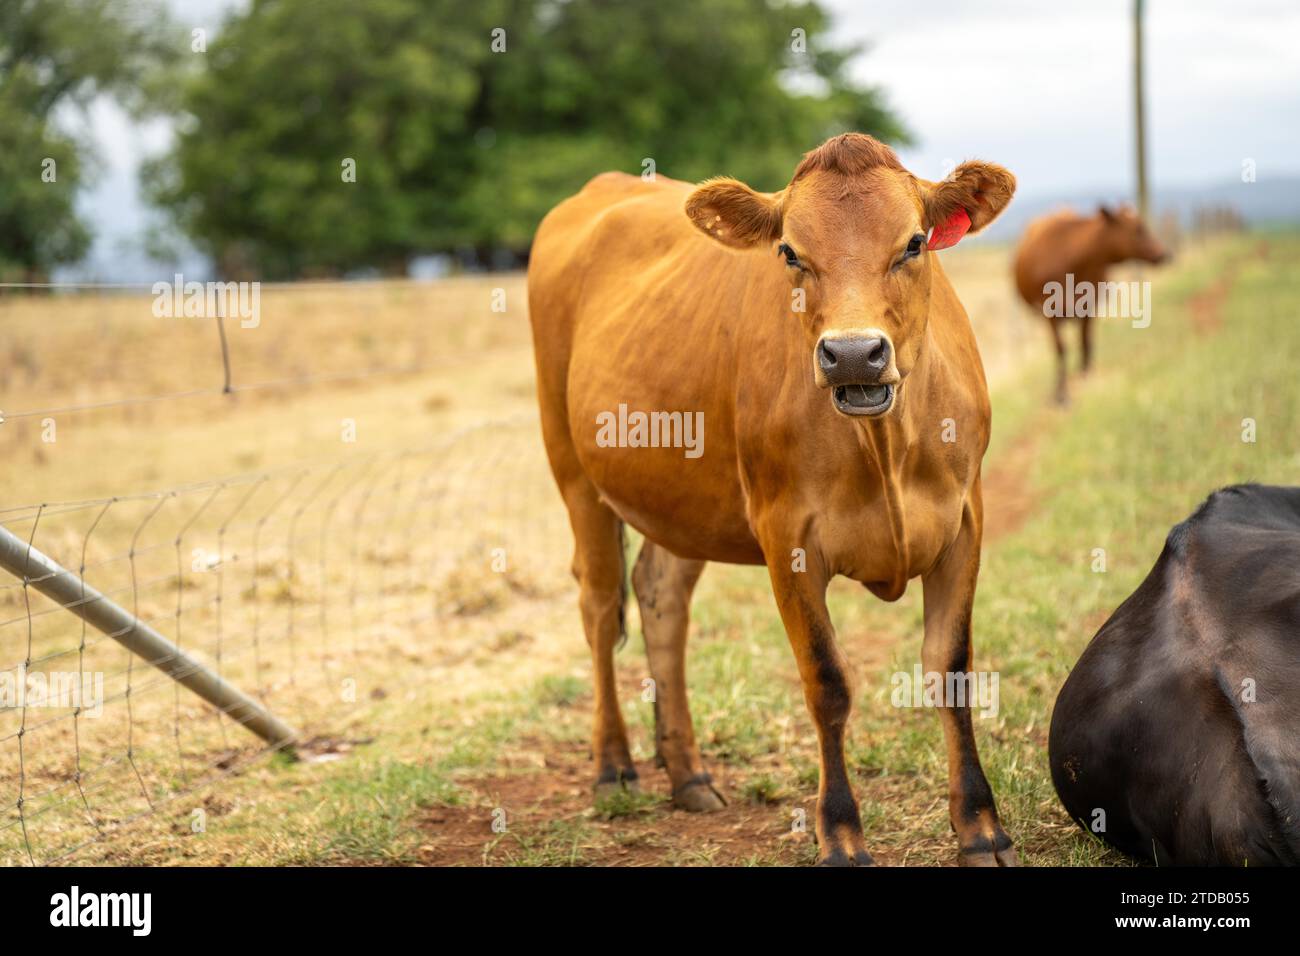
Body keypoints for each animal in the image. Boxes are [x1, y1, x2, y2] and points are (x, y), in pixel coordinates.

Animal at [526, 133, 1018, 866]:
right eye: (790, 251)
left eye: (914, 242)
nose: (853, 355)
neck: (885, 446)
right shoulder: (786, 537)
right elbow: (827, 682)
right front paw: (840, 834)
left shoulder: (963, 522)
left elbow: (951, 670)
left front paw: (981, 828)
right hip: (572, 468)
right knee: (598, 604)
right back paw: (613, 764)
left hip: (683, 499)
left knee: (660, 596)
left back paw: (688, 772)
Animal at [1013, 205, 1168, 405]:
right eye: (1138, 229)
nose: (1164, 254)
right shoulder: (1050, 315)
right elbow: (1061, 350)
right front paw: (1061, 394)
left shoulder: (1089, 307)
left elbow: (1086, 342)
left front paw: (1086, 376)